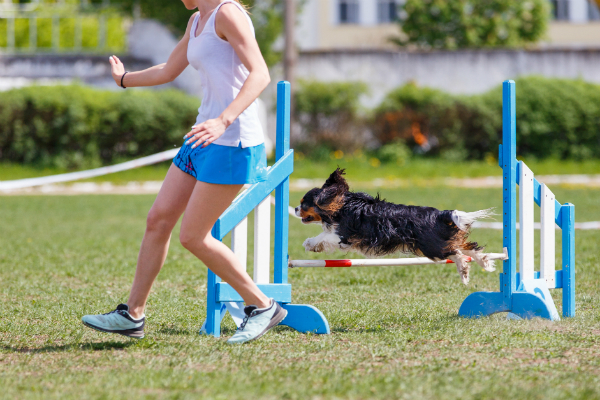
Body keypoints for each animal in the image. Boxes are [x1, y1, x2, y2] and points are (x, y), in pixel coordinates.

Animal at [296, 169, 496, 284]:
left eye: (304, 203)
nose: (296, 209)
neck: (343, 205)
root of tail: (440, 214)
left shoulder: (344, 234)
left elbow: (323, 237)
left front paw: (309, 243)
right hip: (441, 240)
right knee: (470, 248)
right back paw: (485, 263)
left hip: (431, 246)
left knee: (457, 254)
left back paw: (464, 272)